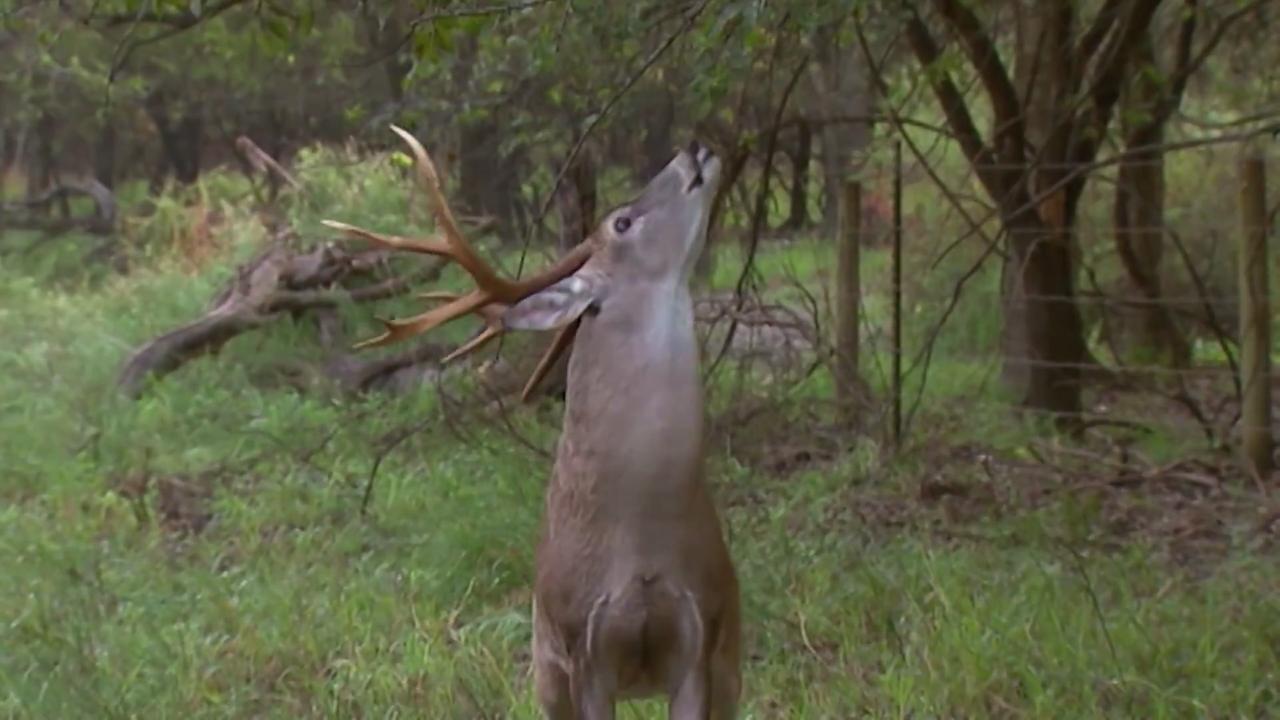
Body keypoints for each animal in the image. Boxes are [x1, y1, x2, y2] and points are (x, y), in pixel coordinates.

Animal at [324, 126, 741, 719]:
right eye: (621, 221)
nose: (695, 147)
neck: (639, 538)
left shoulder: (700, 634)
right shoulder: (580, 649)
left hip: (732, 657)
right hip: (546, 672)